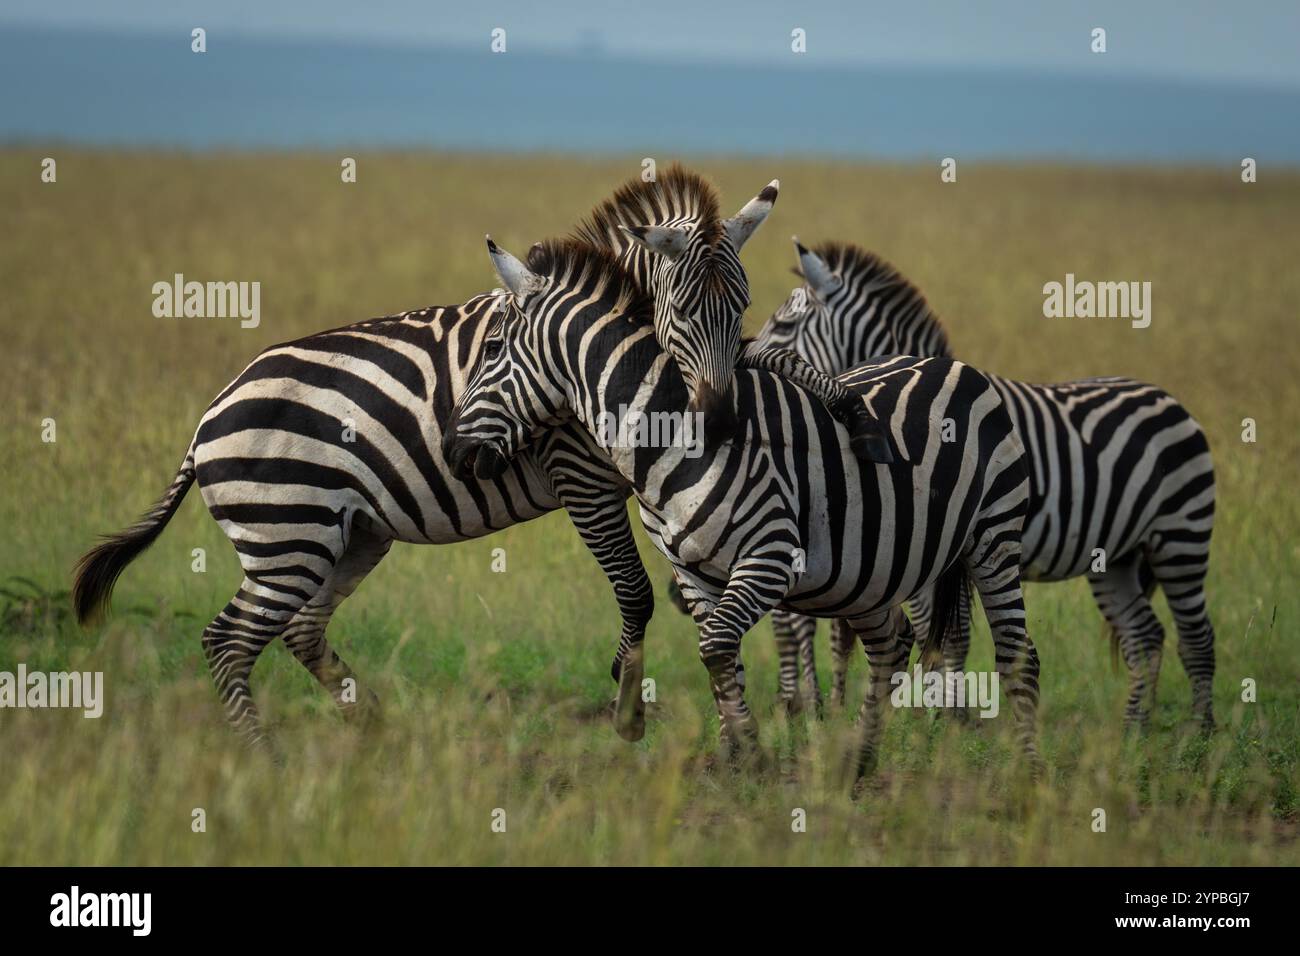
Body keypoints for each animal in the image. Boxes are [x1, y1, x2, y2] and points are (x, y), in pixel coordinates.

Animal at [446, 236, 1044, 781]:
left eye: (492, 347)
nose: (452, 452)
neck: (673, 436)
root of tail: (955, 365)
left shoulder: (769, 558)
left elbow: (716, 645)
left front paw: (751, 757)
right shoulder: (691, 569)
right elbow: (721, 655)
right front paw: (737, 756)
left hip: (993, 539)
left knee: (1018, 655)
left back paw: (1028, 778)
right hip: (868, 571)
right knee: (891, 648)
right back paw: (857, 763)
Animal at [754, 238, 1217, 730]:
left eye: (784, 325)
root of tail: (1167, 397)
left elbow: (943, 634)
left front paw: (940, 715)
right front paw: (939, 714)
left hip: (1181, 535)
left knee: (1196, 636)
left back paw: (1200, 731)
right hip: (1117, 557)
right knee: (1143, 635)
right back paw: (1133, 729)